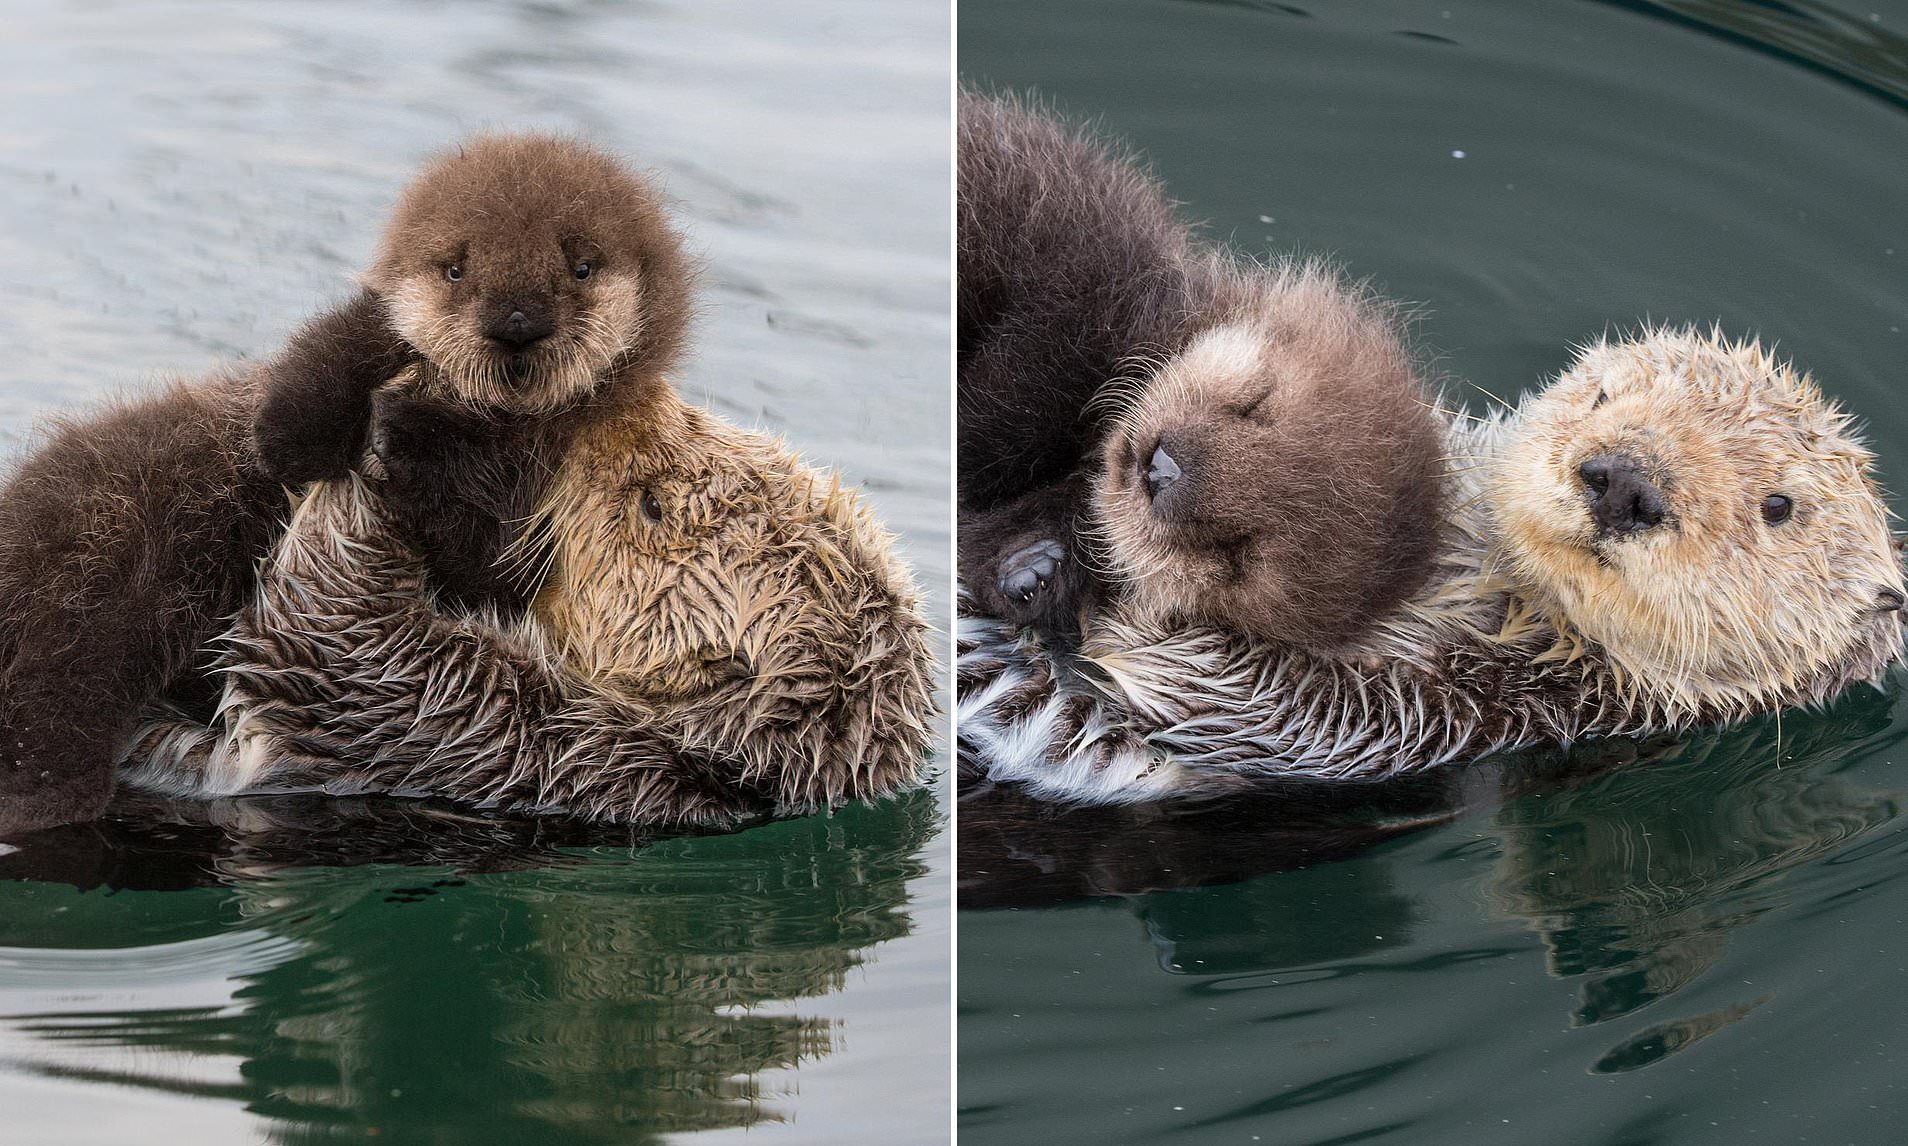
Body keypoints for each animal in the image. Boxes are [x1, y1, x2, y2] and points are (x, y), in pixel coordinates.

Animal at [958, 91, 1445, 650]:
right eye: (1256, 404)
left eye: (1237, 553)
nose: (1161, 468)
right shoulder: (1089, 282)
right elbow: (1023, 382)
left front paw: (1034, 568)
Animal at [958, 328, 1905, 803]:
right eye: (1604, 394)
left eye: (1780, 506)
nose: (1626, 481)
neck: (1477, 576)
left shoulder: (1471, 714)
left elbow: (1228, 689)